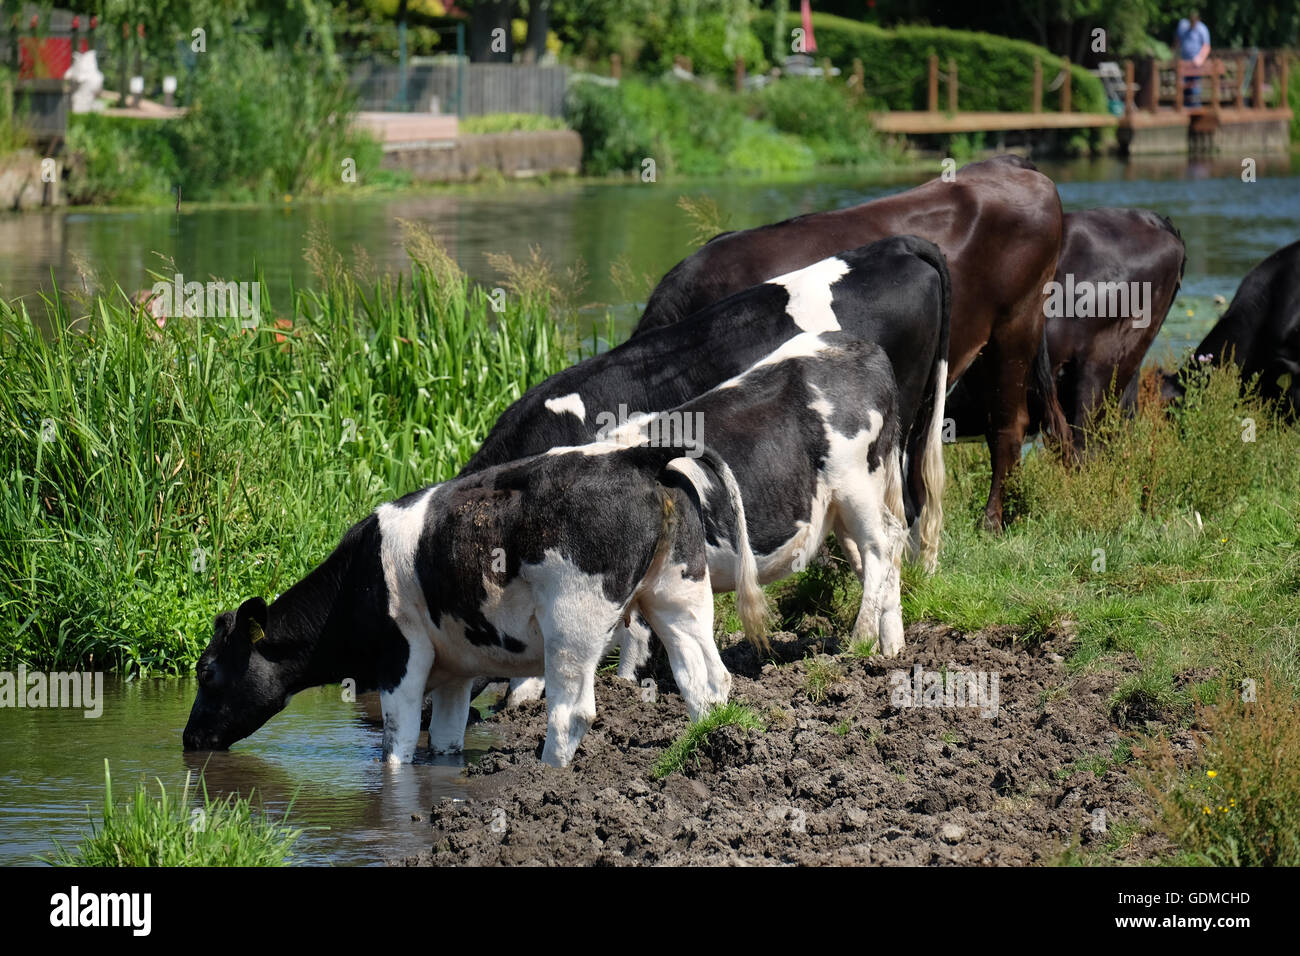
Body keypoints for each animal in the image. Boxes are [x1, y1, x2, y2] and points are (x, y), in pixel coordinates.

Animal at [183, 441, 766, 768]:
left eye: (206, 671)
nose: (187, 739)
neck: (357, 580)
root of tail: (634, 456)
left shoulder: (403, 657)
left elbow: (396, 745)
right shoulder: (455, 671)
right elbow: (444, 740)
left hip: (572, 624)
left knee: (571, 713)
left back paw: (544, 778)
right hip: (679, 594)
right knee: (705, 681)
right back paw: (705, 744)